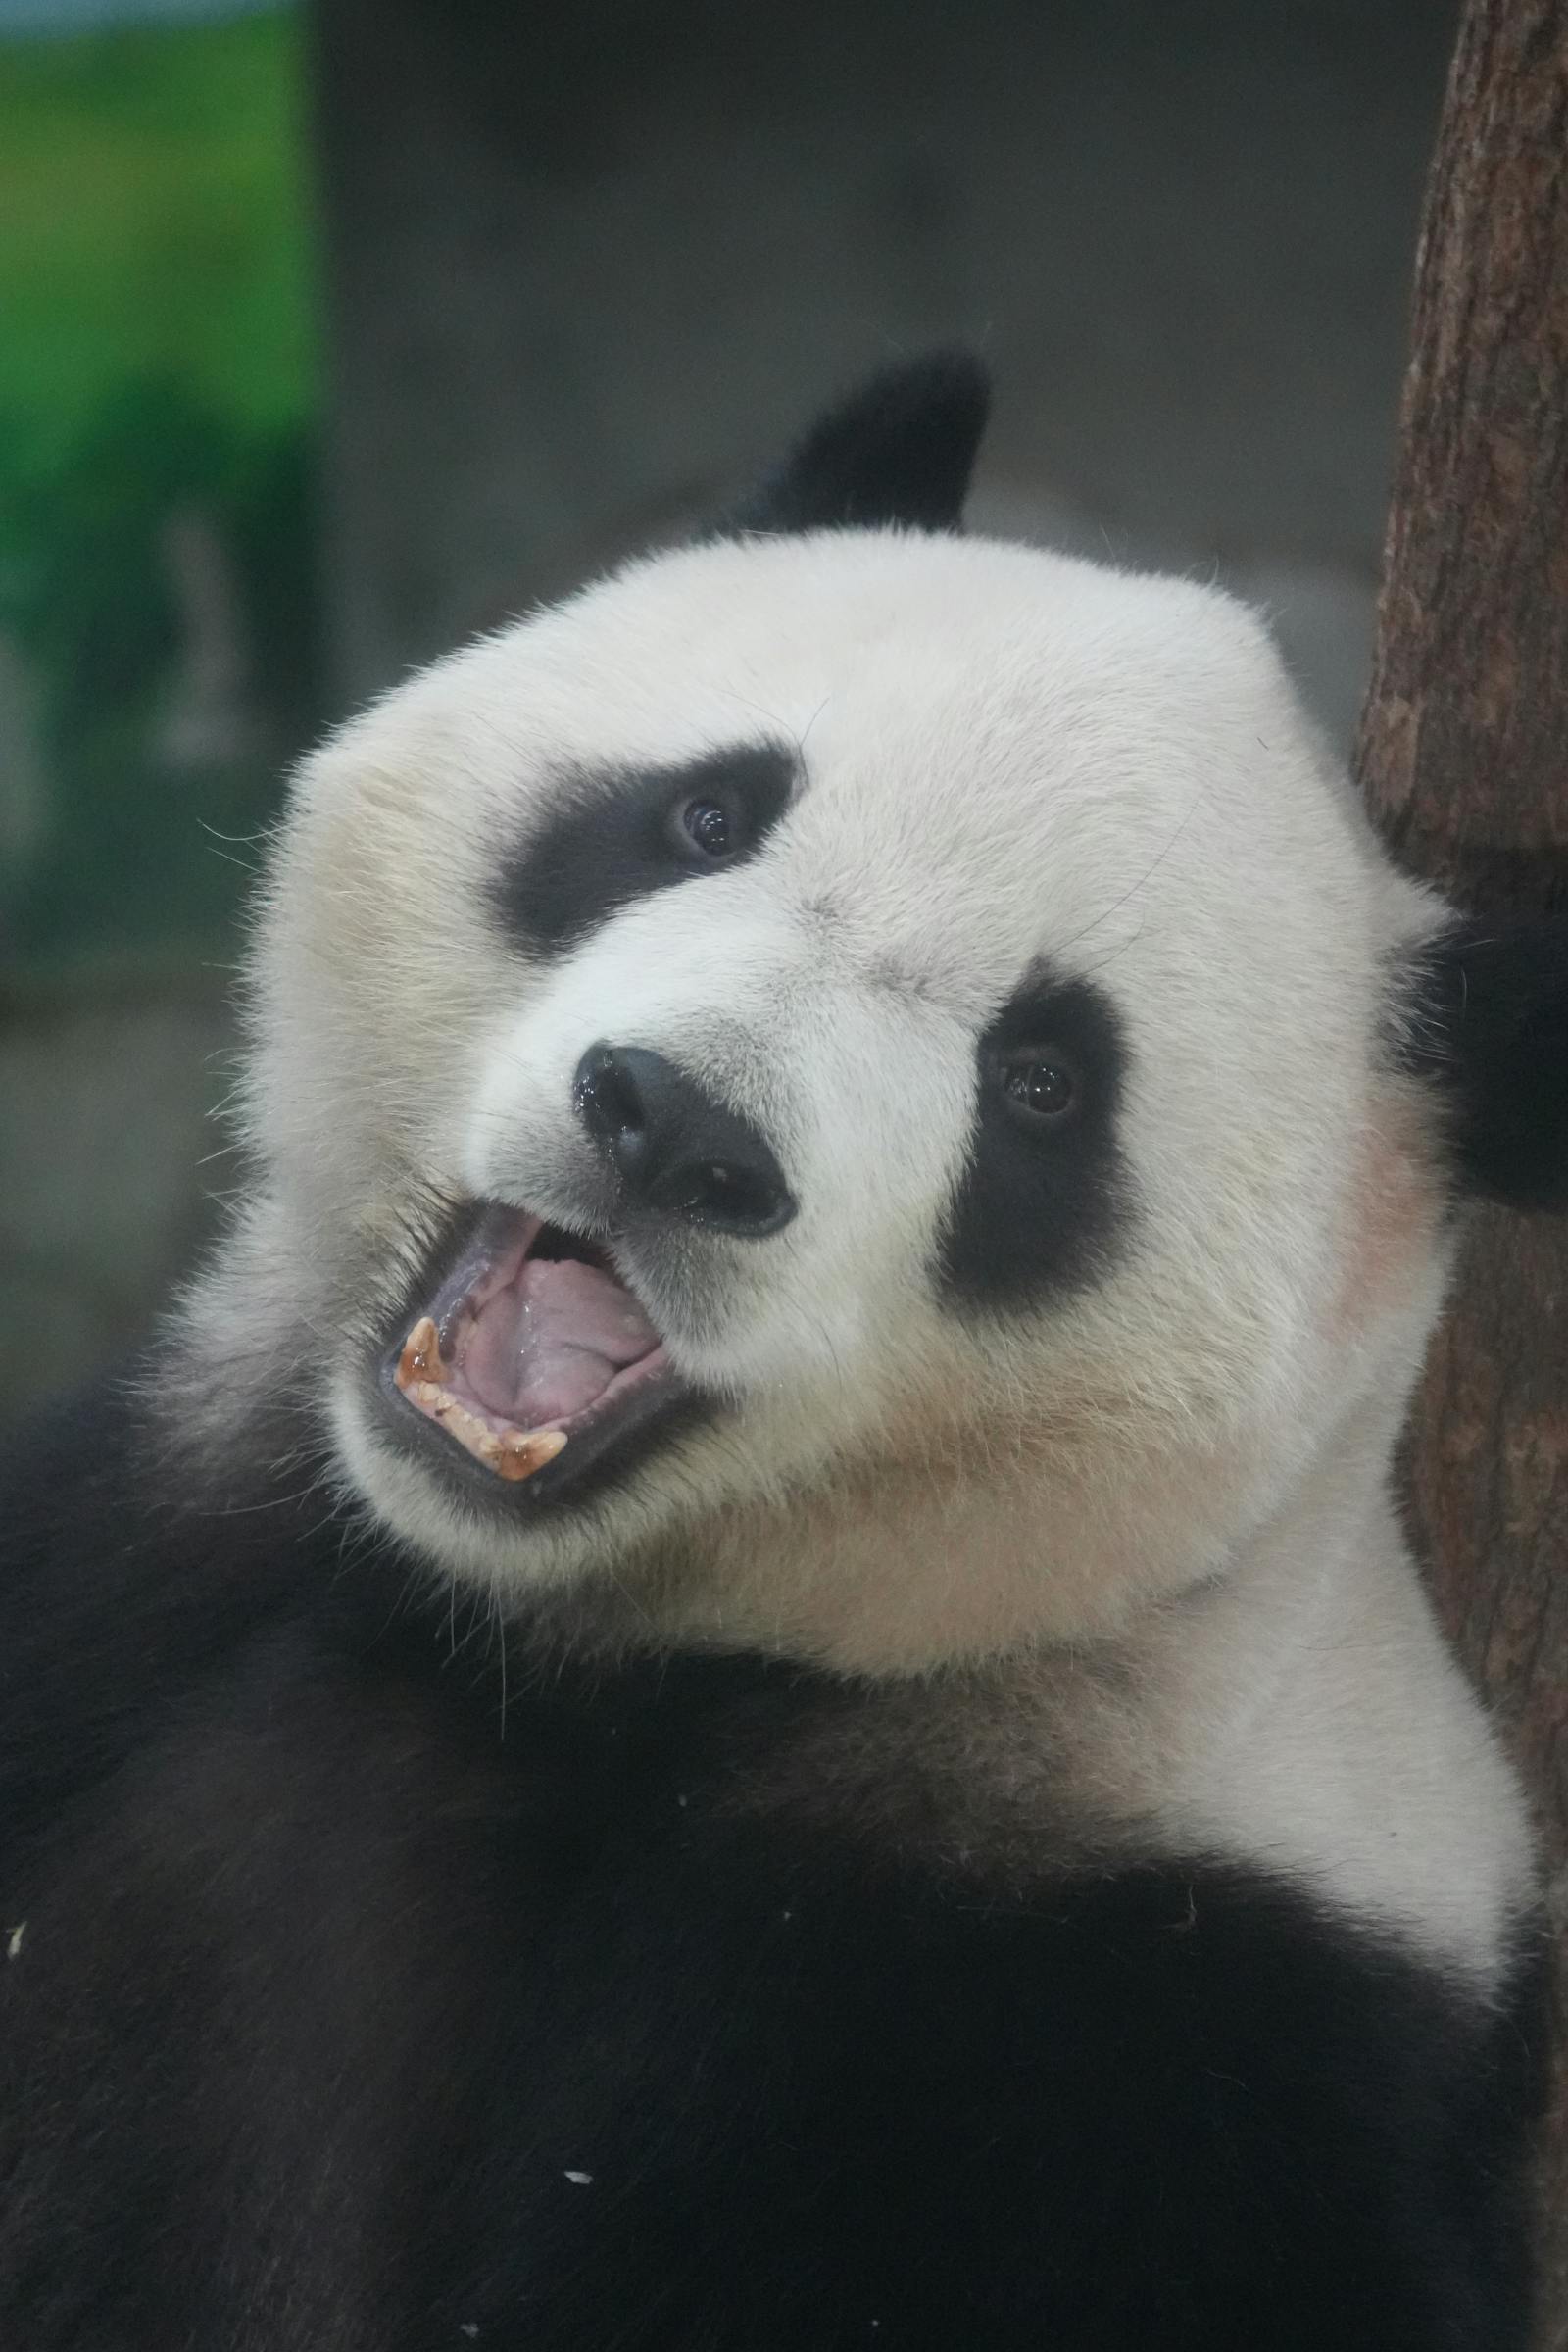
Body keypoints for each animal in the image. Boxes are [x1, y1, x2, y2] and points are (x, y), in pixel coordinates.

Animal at [1, 354, 1563, 2351]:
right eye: (707, 817)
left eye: (1044, 1082)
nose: (676, 1129)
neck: (569, 1639)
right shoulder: (133, 1570)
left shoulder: (1134, 2036)